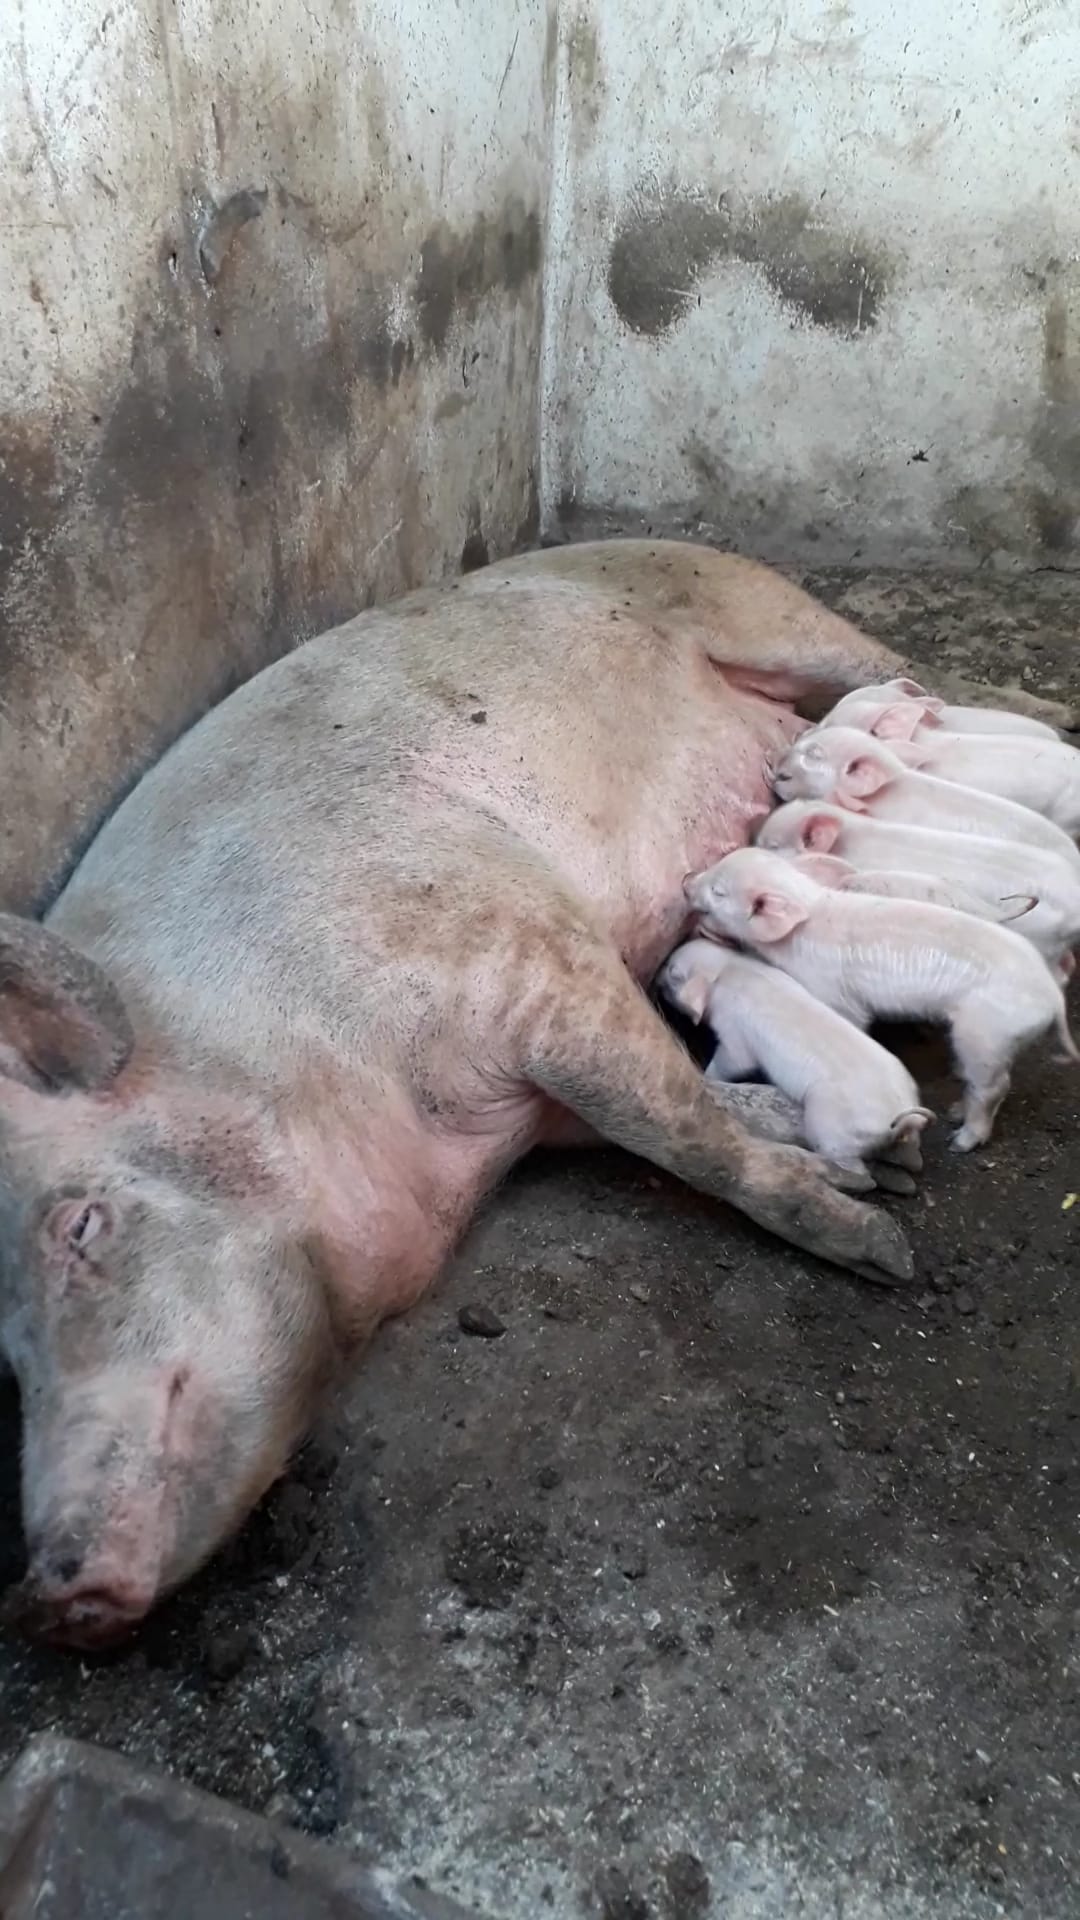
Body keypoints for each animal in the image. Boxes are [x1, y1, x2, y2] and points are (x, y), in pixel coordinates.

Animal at [658, 939, 933, 1180]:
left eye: (674, 972)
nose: (656, 978)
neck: (728, 967)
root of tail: (902, 1113)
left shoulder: (735, 1035)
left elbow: (733, 1062)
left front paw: (705, 1075)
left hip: (828, 1124)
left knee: (858, 1171)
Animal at [685, 847, 1078, 1156]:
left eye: (719, 892)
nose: (687, 879)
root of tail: (1052, 998)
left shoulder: (835, 994)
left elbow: (852, 1023)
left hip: (986, 1034)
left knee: (994, 1086)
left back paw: (959, 1141)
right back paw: (954, 1111)